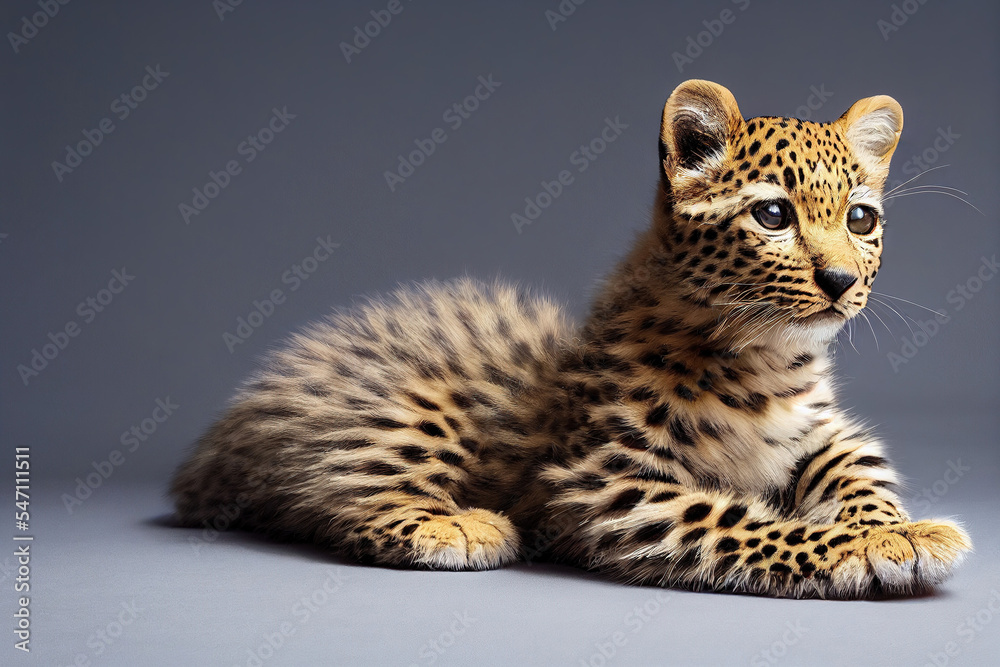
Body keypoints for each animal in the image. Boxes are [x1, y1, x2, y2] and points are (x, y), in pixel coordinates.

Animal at [171, 79, 971, 598]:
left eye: (861, 220)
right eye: (773, 214)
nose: (839, 279)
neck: (768, 354)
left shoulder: (823, 432)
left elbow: (859, 468)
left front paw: (895, 527)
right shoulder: (605, 482)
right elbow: (734, 517)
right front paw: (880, 543)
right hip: (411, 408)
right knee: (343, 492)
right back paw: (457, 527)